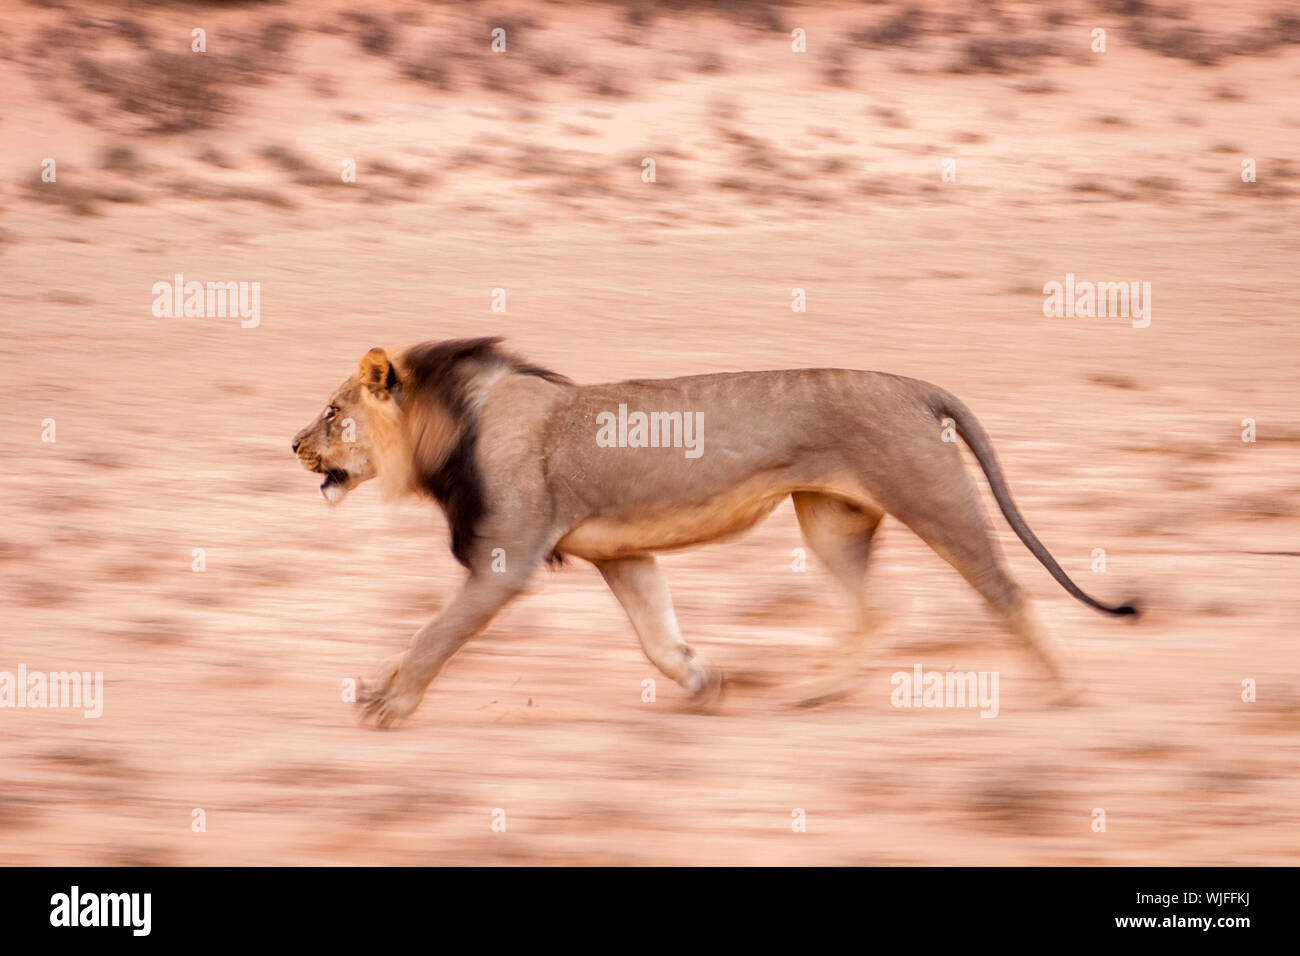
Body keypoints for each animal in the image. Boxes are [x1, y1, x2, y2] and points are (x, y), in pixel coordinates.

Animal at [292, 337, 1137, 728]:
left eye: (333, 412)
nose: (294, 445)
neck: (453, 424)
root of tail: (913, 384)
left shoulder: (505, 560)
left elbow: (433, 635)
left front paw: (386, 703)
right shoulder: (622, 552)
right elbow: (657, 636)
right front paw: (706, 684)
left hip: (932, 498)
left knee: (1005, 590)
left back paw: (1066, 689)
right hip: (829, 520)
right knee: (879, 611)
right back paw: (809, 695)